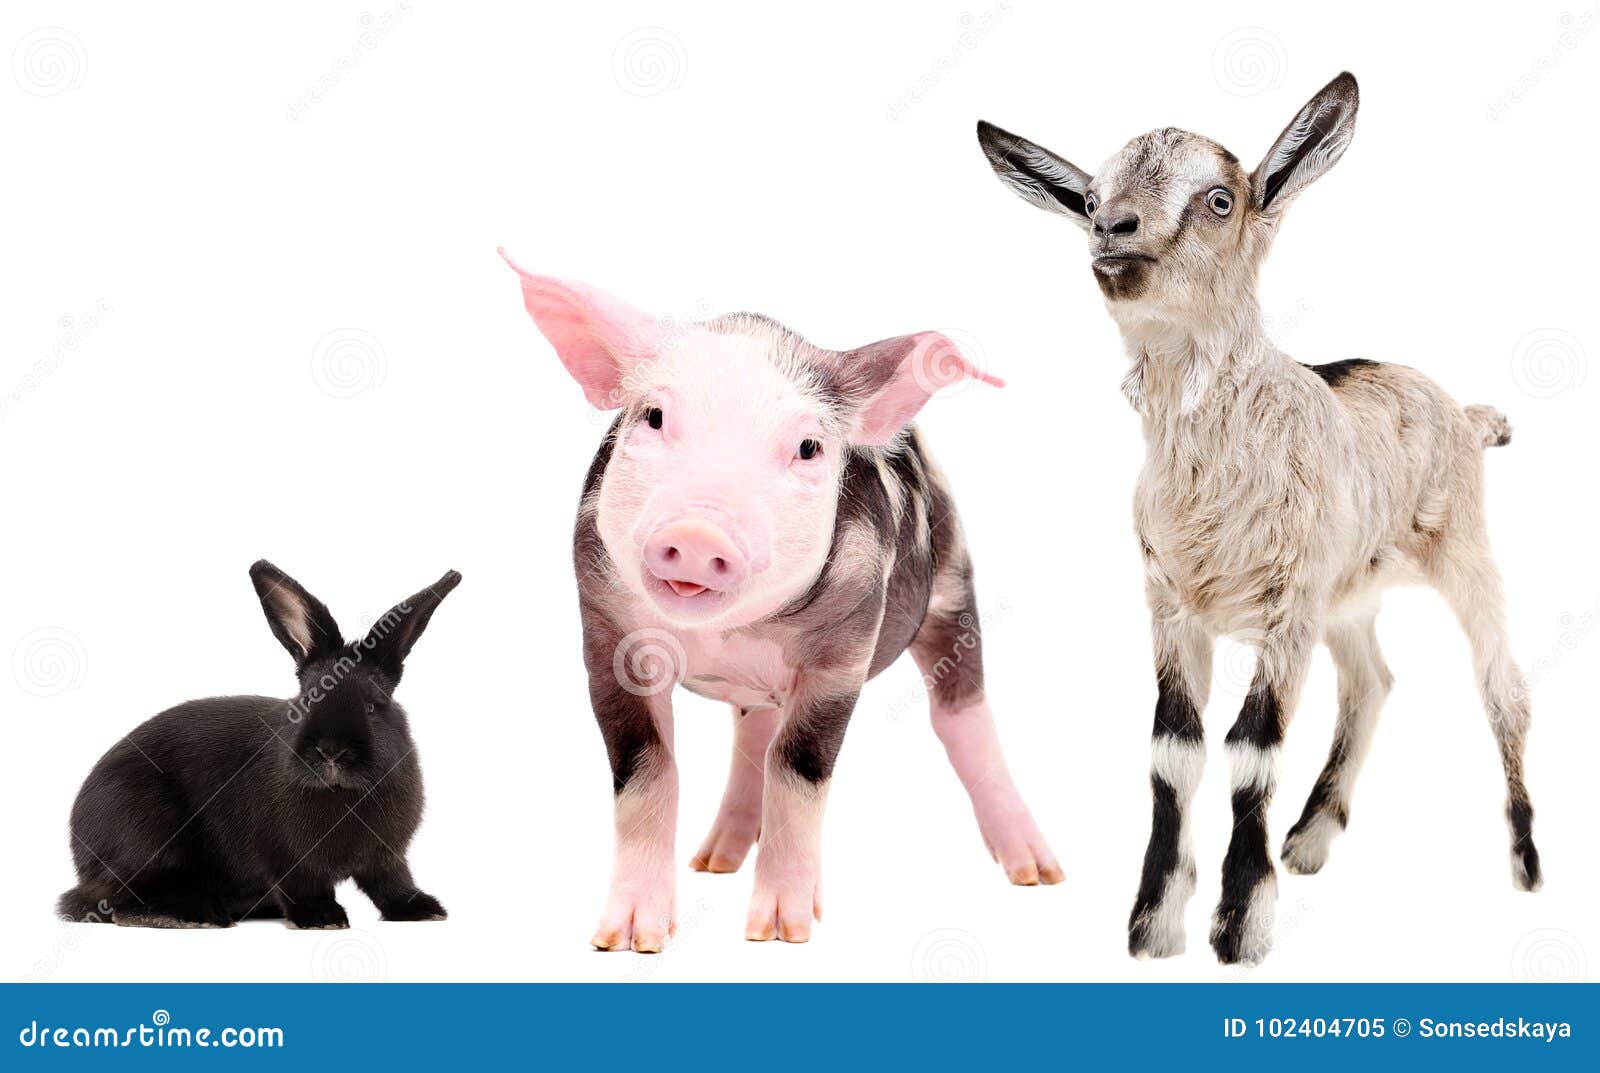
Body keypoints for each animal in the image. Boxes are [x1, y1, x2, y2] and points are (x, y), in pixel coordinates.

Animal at [57, 560, 460, 929]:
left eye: (373, 705)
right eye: (308, 699)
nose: (331, 752)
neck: (340, 793)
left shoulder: (386, 856)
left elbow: (392, 883)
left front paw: (423, 910)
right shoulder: (283, 856)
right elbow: (302, 885)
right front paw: (321, 917)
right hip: (145, 840)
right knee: (111, 901)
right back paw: (196, 916)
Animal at [500, 249, 1061, 949]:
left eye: (808, 447)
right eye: (653, 416)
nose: (698, 532)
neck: (726, 637)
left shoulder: (843, 652)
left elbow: (799, 770)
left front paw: (780, 932)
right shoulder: (607, 638)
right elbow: (647, 774)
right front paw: (627, 939)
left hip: (953, 587)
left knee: (962, 718)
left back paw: (1038, 873)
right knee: (755, 733)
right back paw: (715, 861)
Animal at [977, 72, 1541, 964]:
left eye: (1220, 199)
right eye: (1092, 195)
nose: (1111, 229)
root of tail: (1464, 411)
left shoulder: (1284, 612)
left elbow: (1252, 746)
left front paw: (1241, 921)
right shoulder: (1174, 604)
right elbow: (1173, 748)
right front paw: (1155, 921)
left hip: (1461, 551)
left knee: (1502, 685)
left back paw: (1524, 860)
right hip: (1346, 596)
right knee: (1371, 681)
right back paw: (1311, 837)